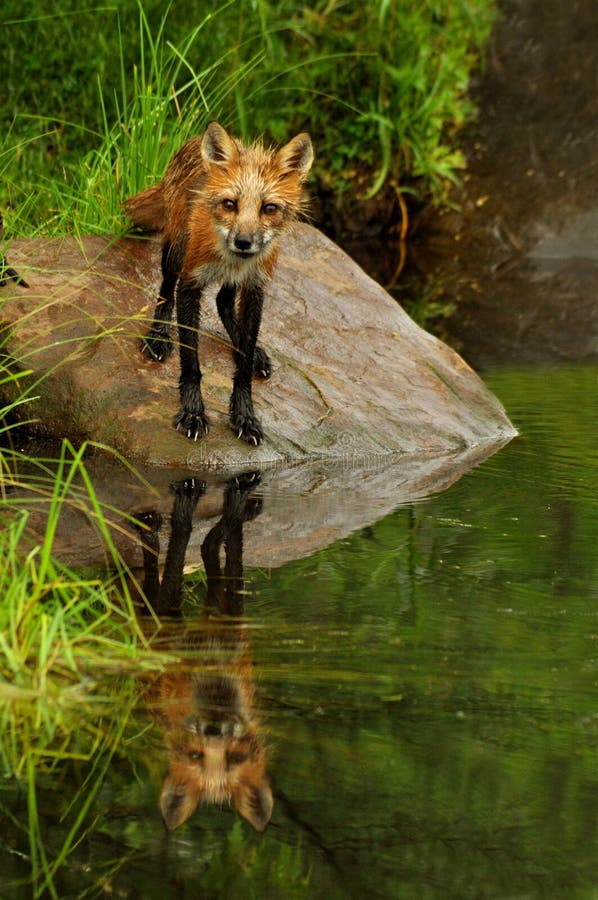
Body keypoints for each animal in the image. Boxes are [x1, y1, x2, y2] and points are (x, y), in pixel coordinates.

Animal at [125, 121, 314, 446]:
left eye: (269, 208)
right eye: (229, 204)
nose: (244, 242)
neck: (231, 260)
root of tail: (191, 140)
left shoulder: (255, 287)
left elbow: (243, 366)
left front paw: (245, 415)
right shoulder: (191, 282)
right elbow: (191, 361)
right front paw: (193, 412)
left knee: (223, 303)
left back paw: (249, 348)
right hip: (176, 249)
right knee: (165, 291)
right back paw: (159, 334)